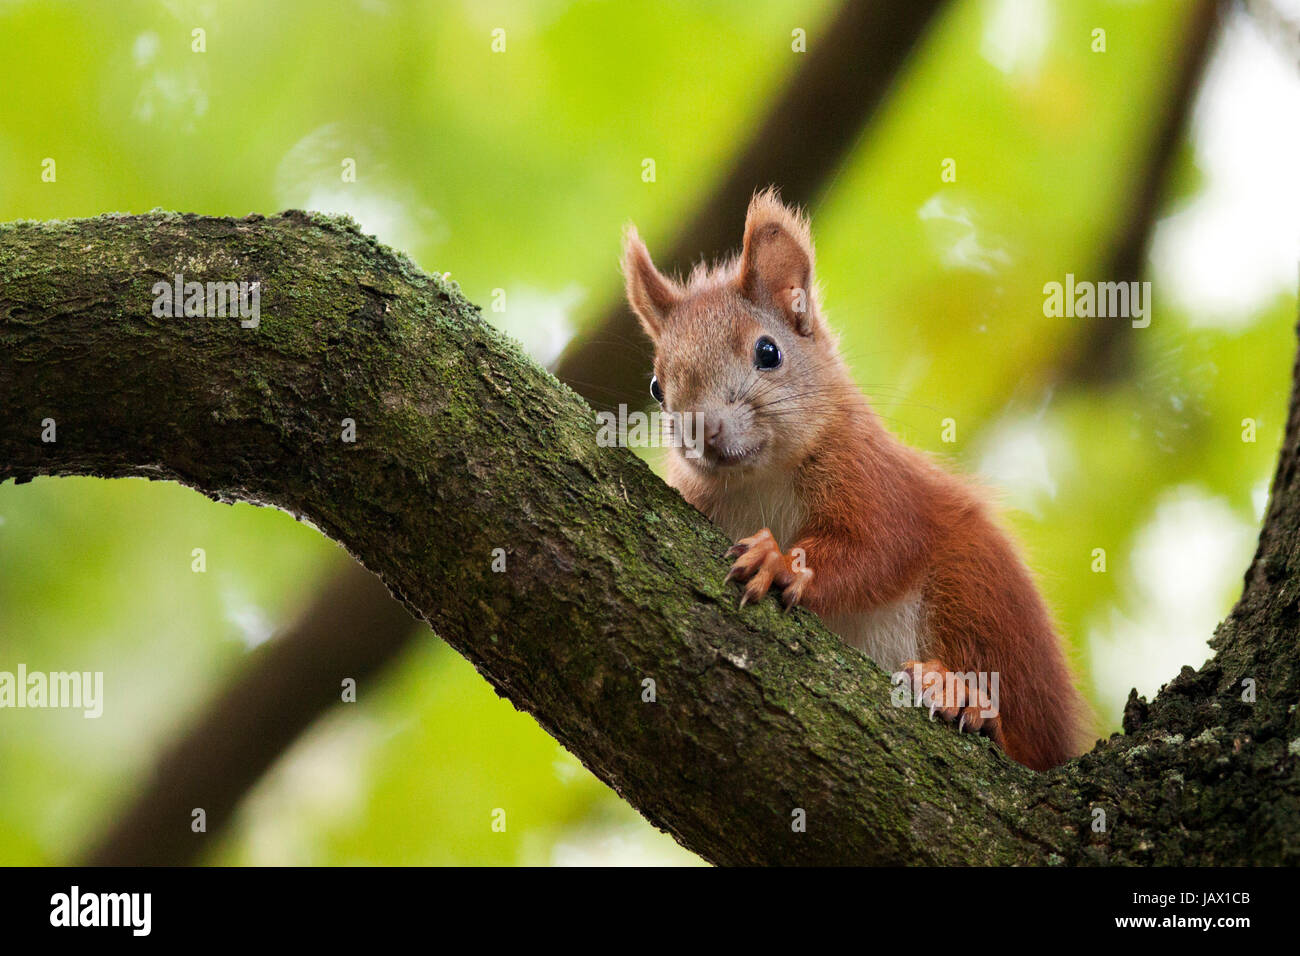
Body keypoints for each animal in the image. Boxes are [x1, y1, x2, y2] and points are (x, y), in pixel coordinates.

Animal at [622, 188, 1089, 771]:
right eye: (656, 388)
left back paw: (961, 695)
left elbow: (879, 548)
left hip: (978, 597)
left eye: (768, 352)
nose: (700, 431)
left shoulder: (873, 478)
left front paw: (779, 561)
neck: (761, 479)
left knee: (1021, 732)